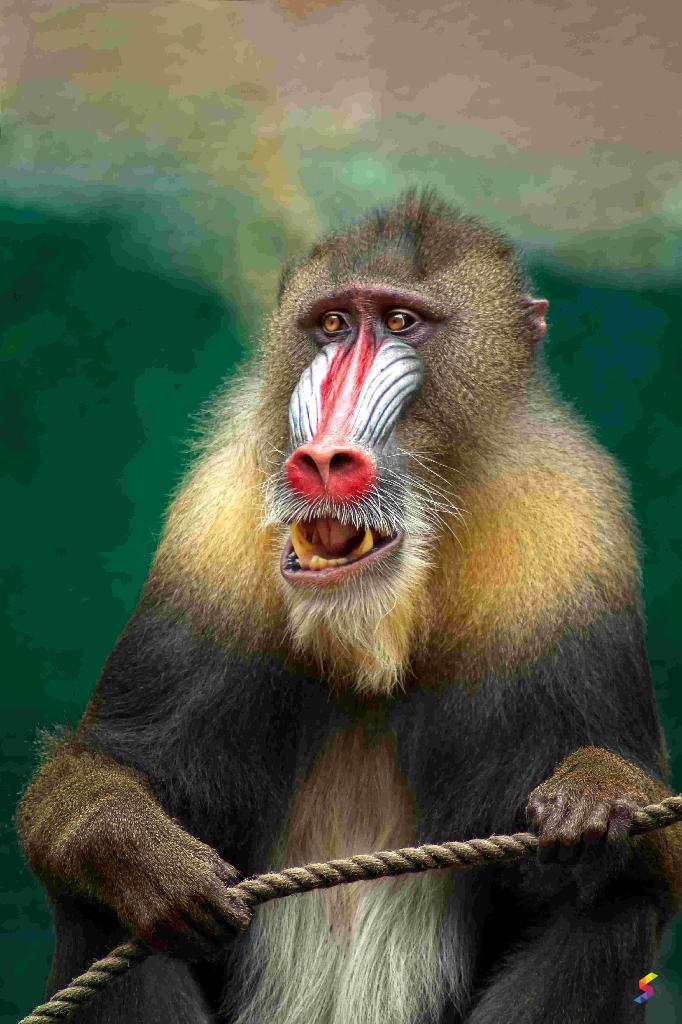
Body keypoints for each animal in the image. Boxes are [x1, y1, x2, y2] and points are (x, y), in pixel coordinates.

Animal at [15, 188, 682, 1024]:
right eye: (332, 325)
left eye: (401, 322)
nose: (326, 456)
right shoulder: (212, 538)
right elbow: (83, 789)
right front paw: (139, 854)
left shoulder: (571, 543)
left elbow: (649, 862)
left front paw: (596, 796)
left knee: (606, 902)